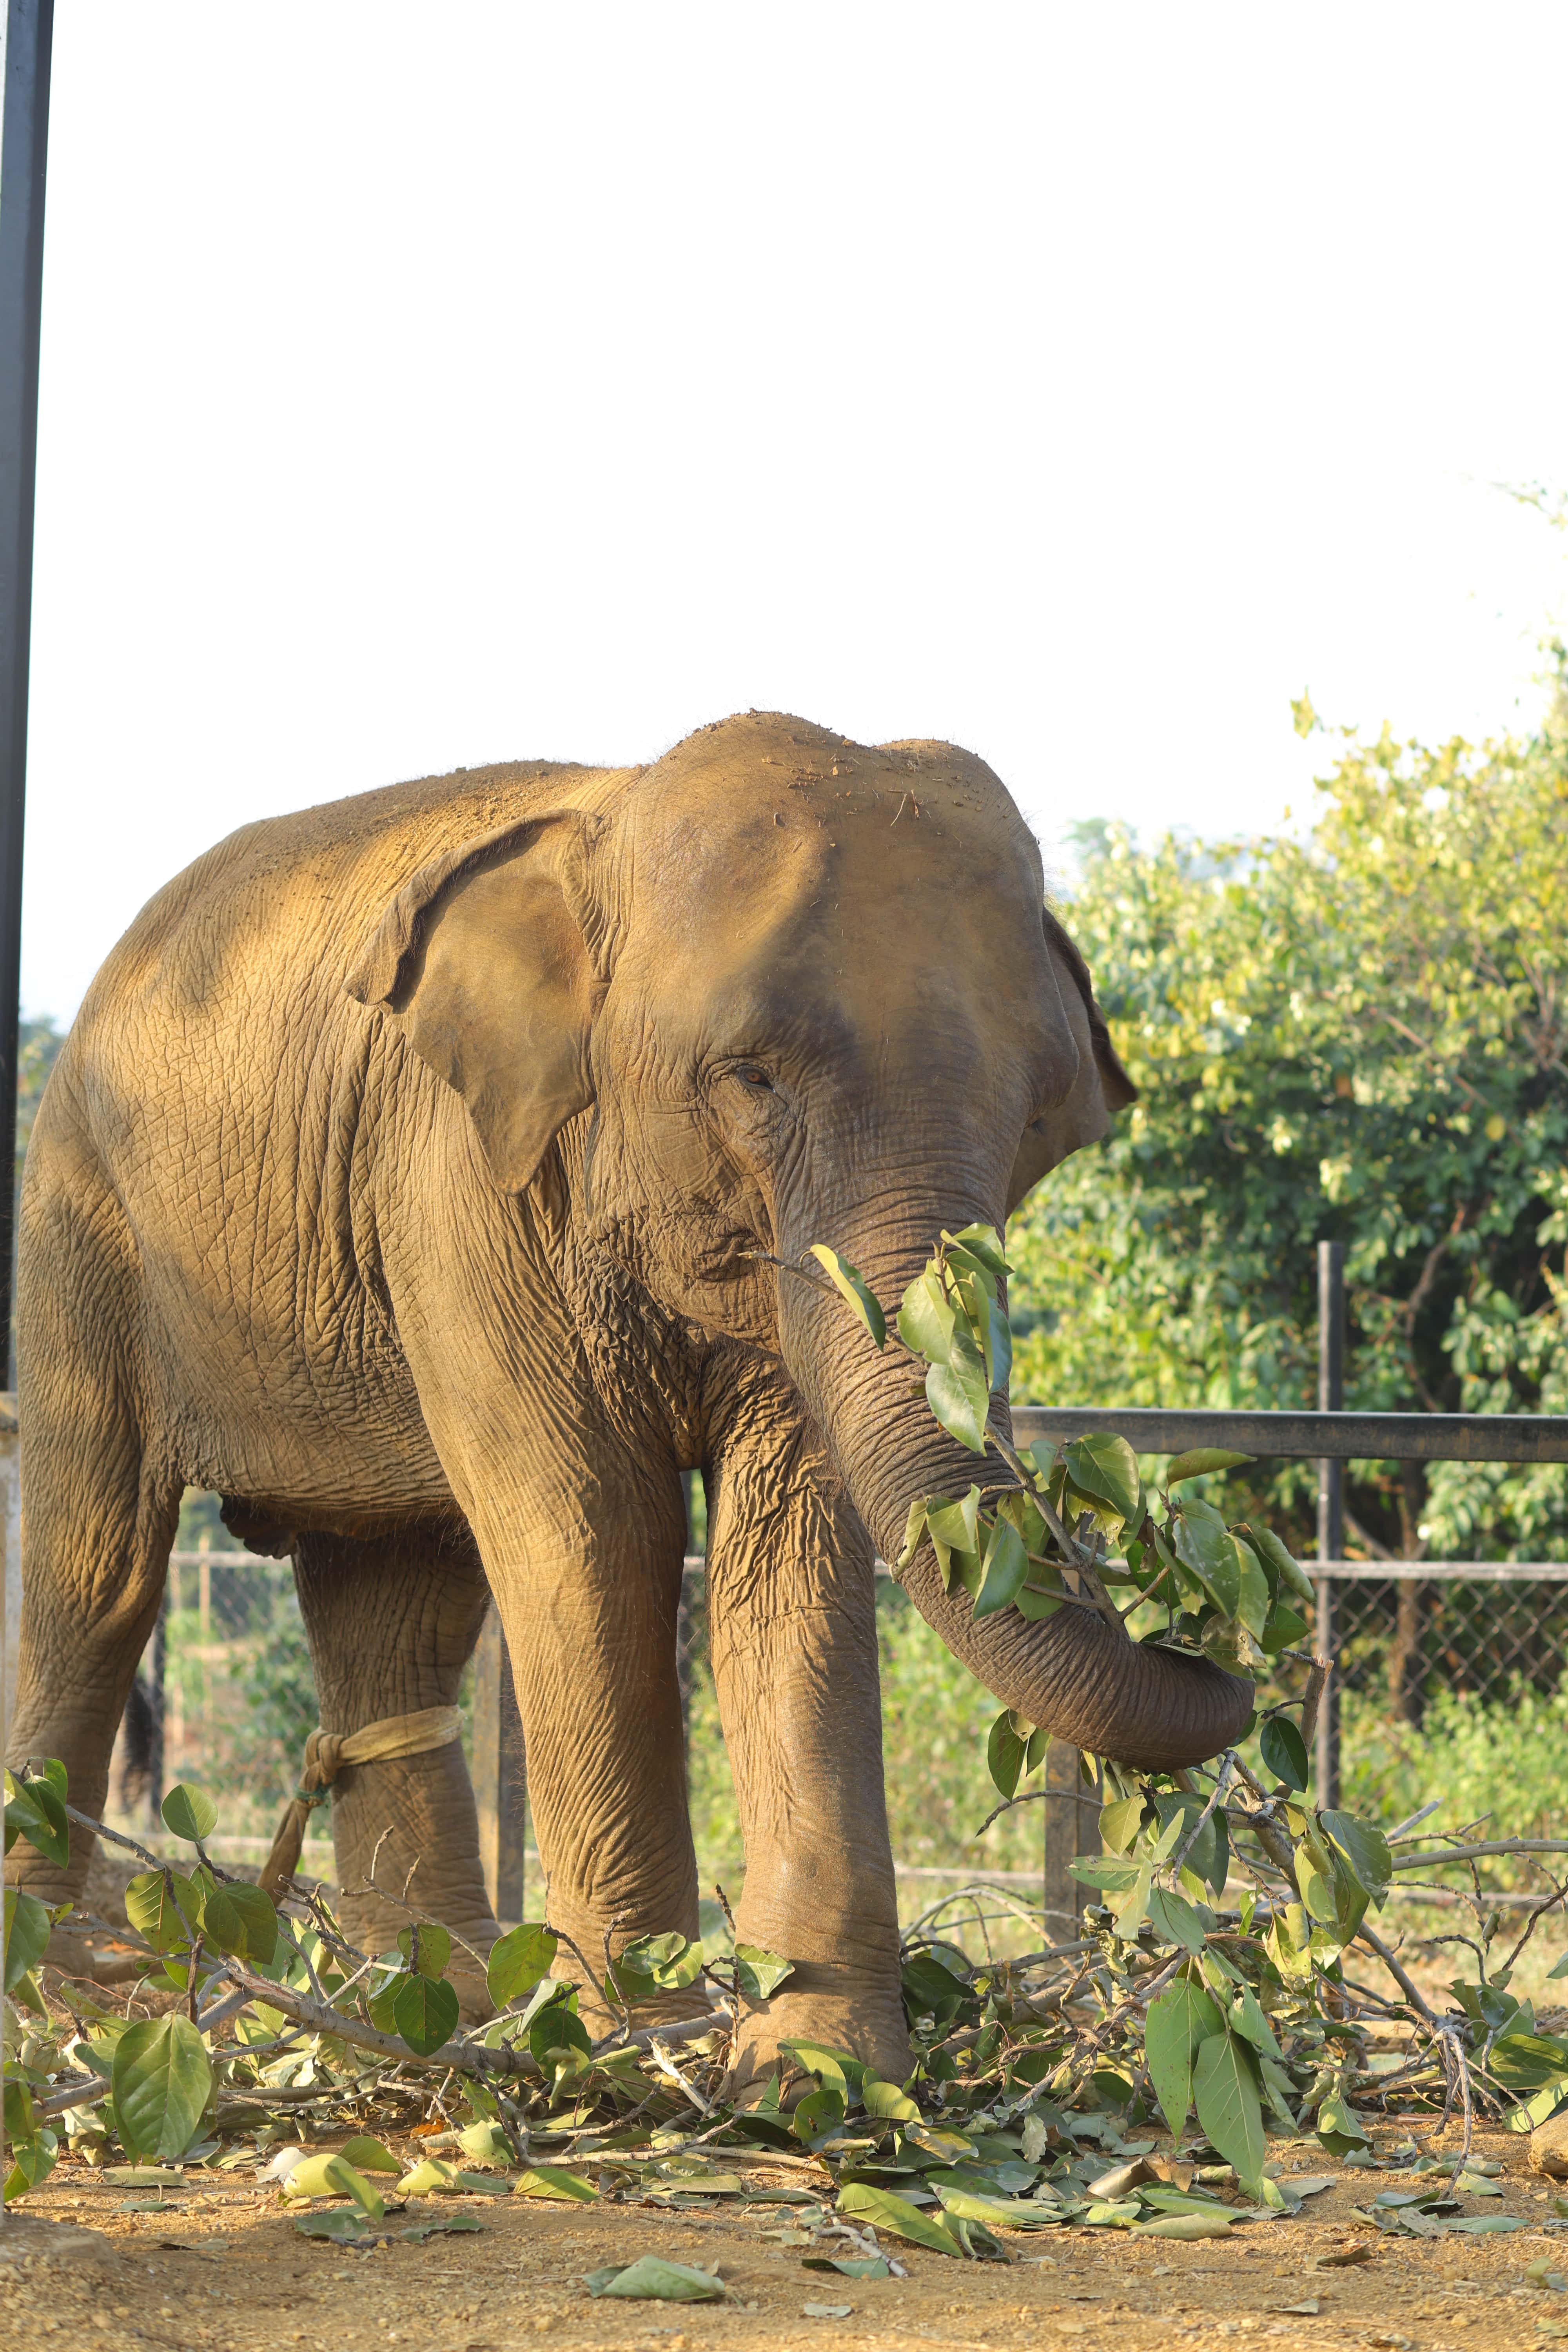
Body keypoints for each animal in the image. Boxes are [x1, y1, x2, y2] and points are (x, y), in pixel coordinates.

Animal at [5, 709, 1250, 2084]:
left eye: (1038, 1112)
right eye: (750, 1078)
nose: (1210, 1636)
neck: (616, 824)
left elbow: (789, 1548)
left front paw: (814, 2068)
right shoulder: (456, 1171)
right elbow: (592, 1527)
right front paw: (631, 2040)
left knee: (397, 1609)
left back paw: (429, 2006)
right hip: (81, 1216)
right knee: (100, 1568)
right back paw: (63, 1997)